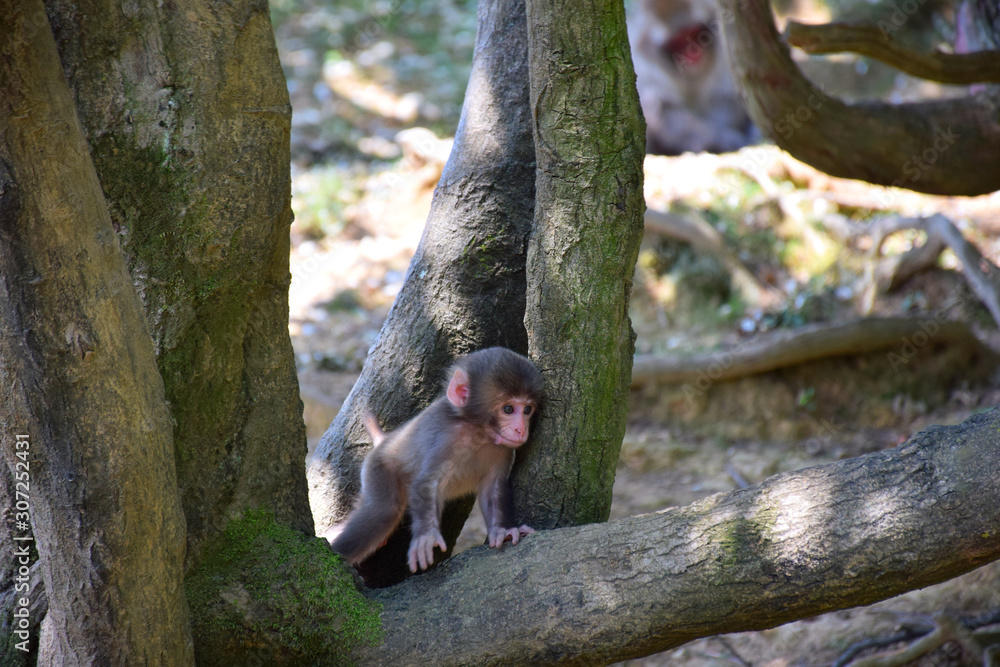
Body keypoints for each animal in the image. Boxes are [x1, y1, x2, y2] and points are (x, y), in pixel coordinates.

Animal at [329, 347, 544, 574]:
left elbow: (492, 488)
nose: (521, 429)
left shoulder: (502, 450)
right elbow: (426, 483)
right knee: (383, 511)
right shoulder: (447, 438)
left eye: (527, 409)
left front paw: (502, 530)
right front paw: (426, 536)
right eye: (508, 409)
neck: (478, 433)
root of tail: (384, 442)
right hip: (378, 467)